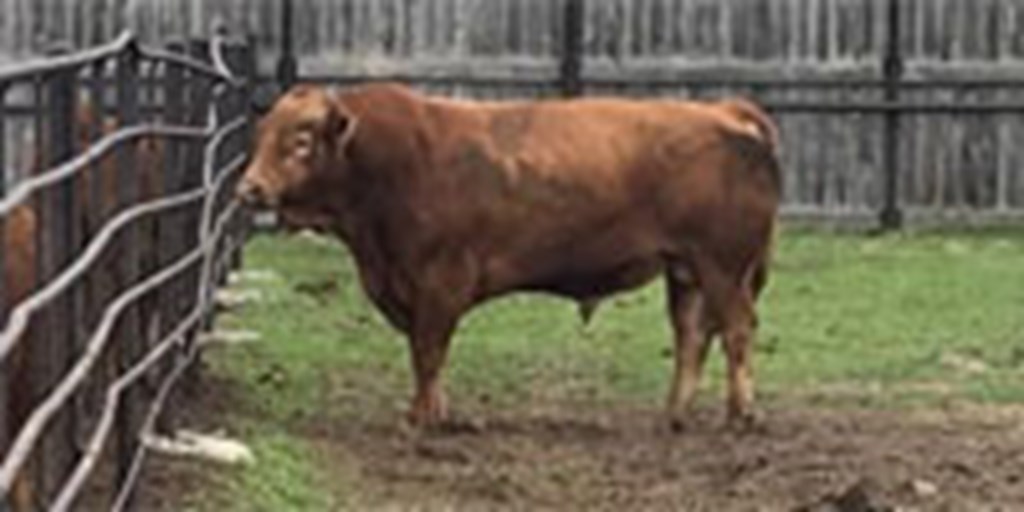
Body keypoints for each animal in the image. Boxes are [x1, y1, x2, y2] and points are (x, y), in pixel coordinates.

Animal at [237, 83, 781, 430]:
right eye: (260, 137)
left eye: (301, 141)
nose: (250, 188)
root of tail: (722, 111)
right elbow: (424, 353)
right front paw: (432, 412)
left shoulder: (440, 283)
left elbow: (428, 352)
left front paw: (423, 418)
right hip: (687, 271)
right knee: (692, 336)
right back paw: (676, 415)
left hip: (723, 269)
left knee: (737, 329)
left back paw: (743, 413)